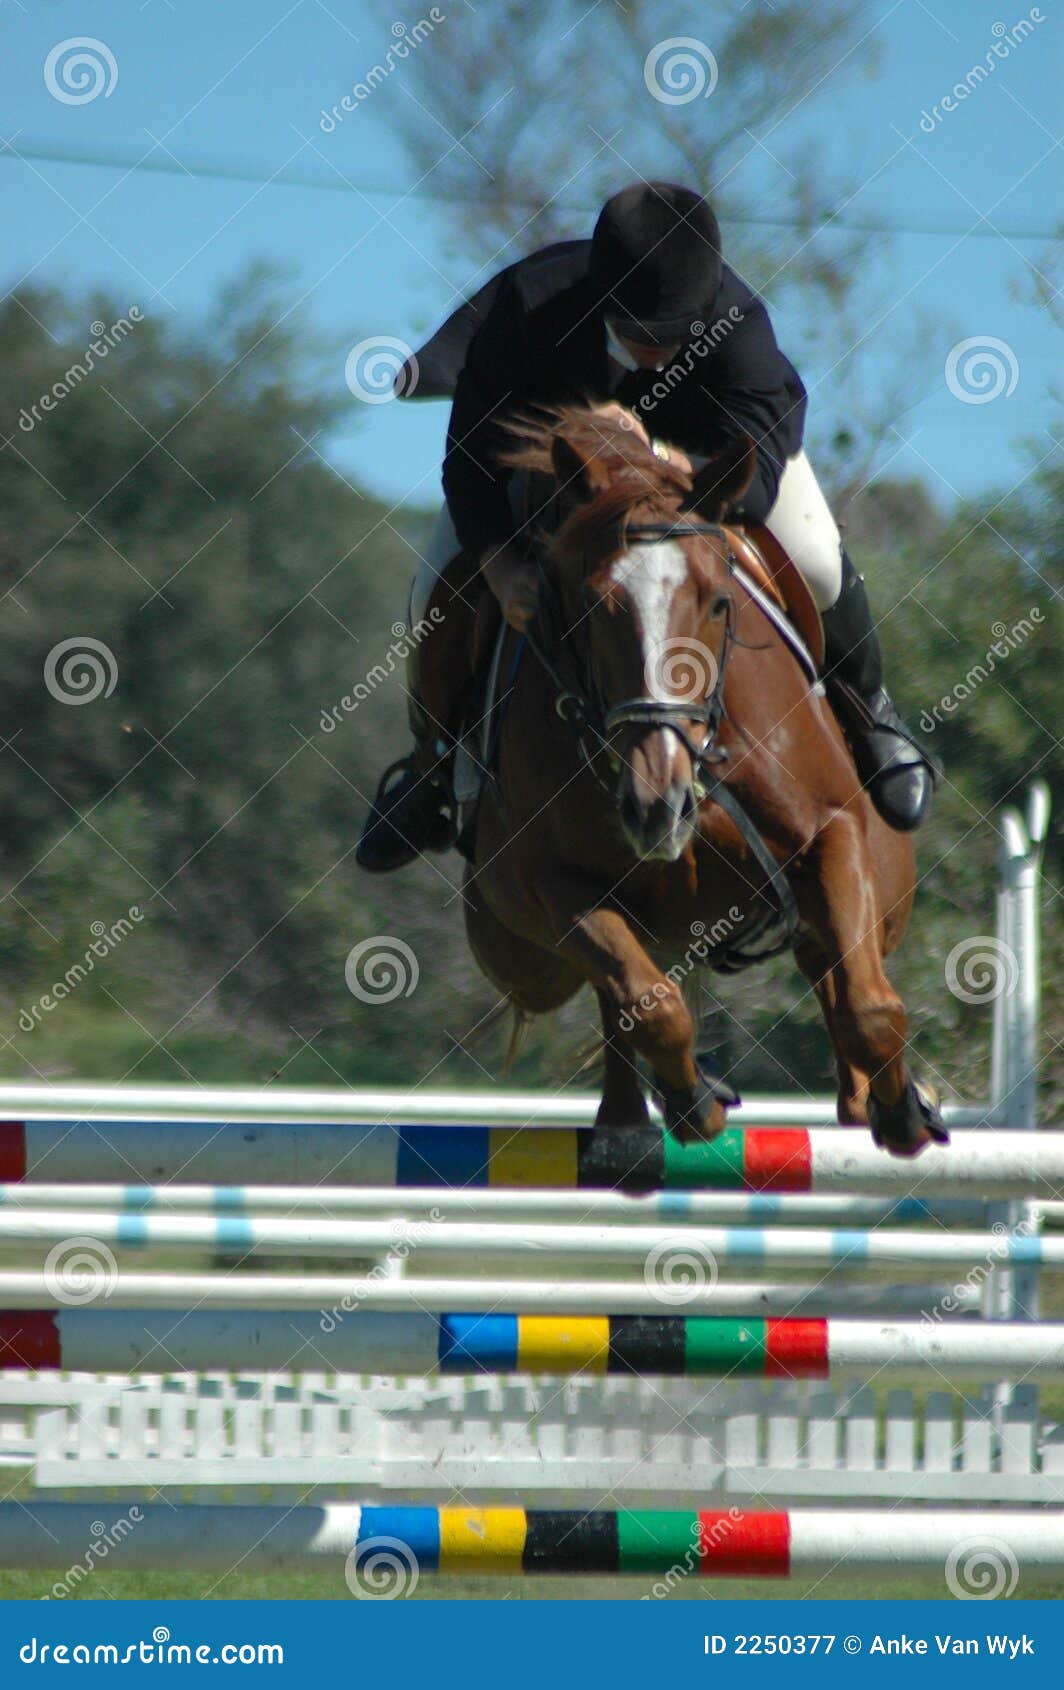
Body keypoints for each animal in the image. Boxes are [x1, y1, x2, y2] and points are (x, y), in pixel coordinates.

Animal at [419, 404, 946, 1158]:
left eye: (719, 602)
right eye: (589, 606)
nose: (655, 806)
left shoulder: (834, 832)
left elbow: (870, 1005)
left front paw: (904, 1111)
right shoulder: (556, 884)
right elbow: (650, 1006)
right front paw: (694, 1103)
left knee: (829, 967)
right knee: (626, 1003)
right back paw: (636, 1118)